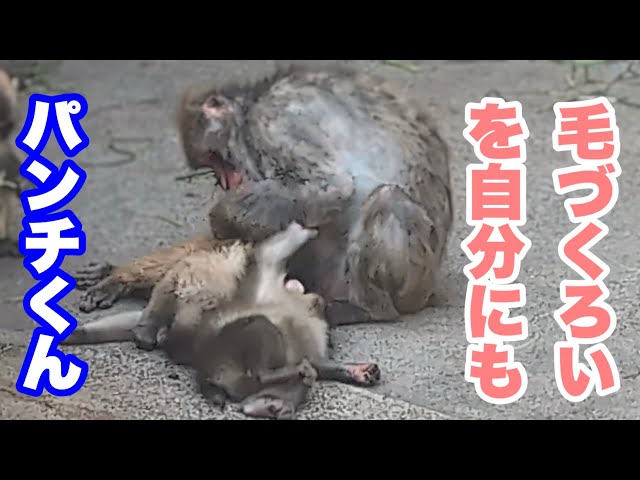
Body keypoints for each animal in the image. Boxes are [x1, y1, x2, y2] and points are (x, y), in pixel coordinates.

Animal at [75, 63, 454, 328]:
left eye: (216, 159)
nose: (227, 182)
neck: (251, 105)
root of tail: (430, 289)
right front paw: (119, 274)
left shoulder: (272, 122)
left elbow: (331, 186)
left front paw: (221, 217)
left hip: (410, 281)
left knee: (387, 199)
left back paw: (368, 309)